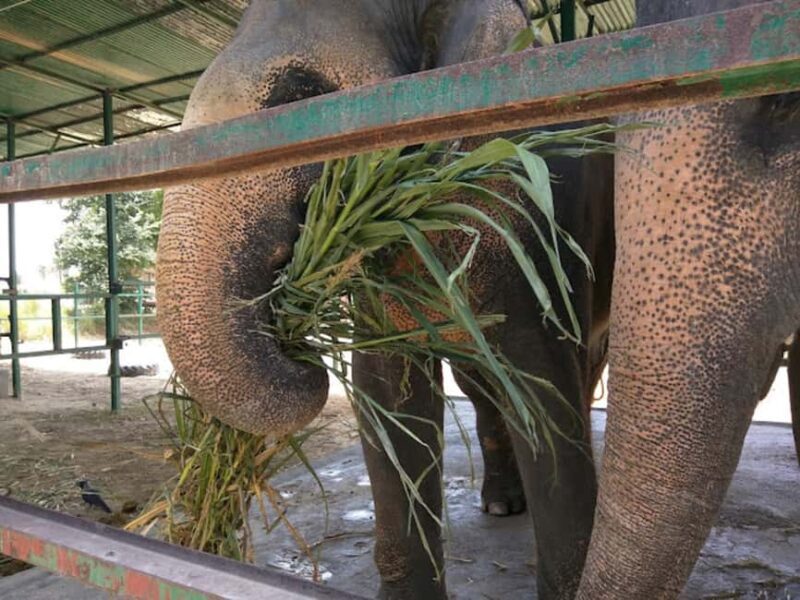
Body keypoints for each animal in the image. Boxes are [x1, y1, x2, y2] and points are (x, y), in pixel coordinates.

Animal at [156, 1, 613, 598]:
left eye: (300, 94)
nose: (298, 347)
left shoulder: (541, 225)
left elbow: (546, 392)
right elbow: (384, 391)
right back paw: (500, 505)